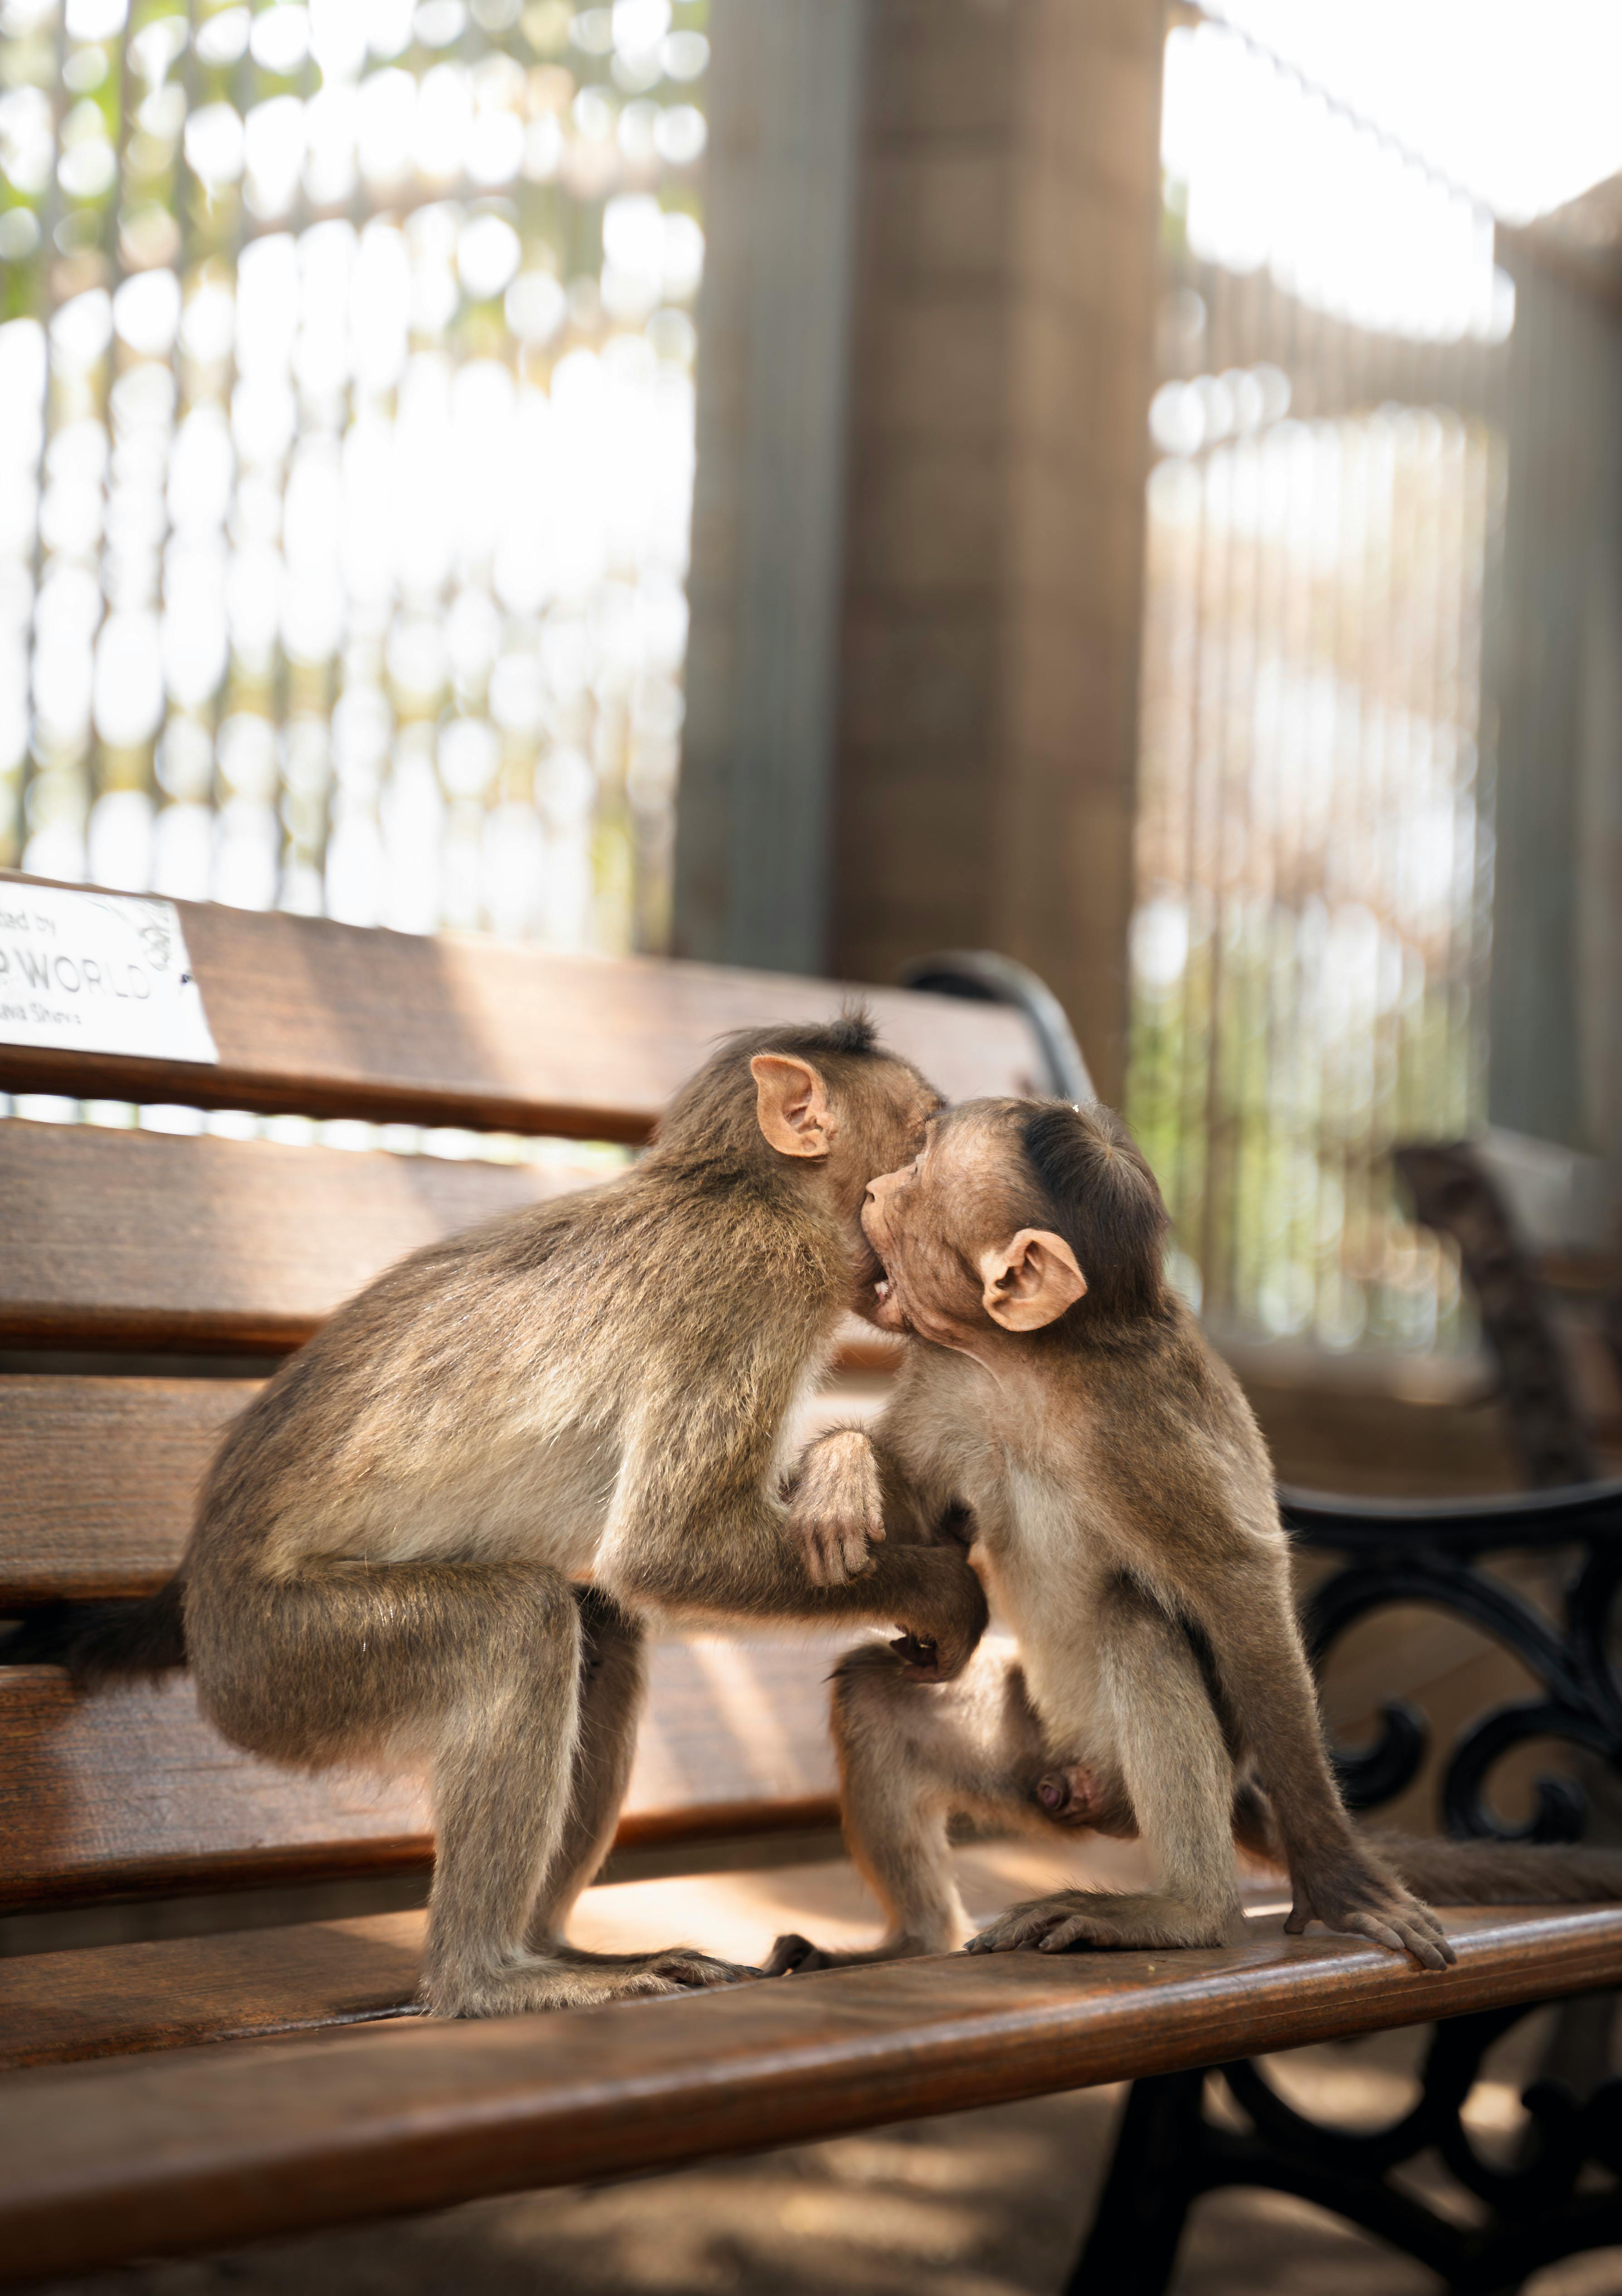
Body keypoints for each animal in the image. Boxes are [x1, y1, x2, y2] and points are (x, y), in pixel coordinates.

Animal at [5, 1017, 989, 2018]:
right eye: (921, 1139)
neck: (737, 1191)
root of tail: (200, 1596)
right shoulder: (750, 1283)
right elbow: (666, 1551)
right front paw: (938, 1587)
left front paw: (843, 1464)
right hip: (284, 1660)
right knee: (519, 1621)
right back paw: (488, 1976)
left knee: (600, 1630)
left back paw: (549, 1944)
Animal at [766, 1097, 1622, 1980]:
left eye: (915, 1177)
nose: (874, 1191)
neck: (1029, 1367)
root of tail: (1080, 1784)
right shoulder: (951, 1385)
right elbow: (922, 1526)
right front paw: (842, 1467)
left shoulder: (1132, 1427)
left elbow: (1239, 1587)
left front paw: (1338, 1876)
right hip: (1028, 1753)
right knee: (874, 1694)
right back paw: (912, 1939)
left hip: (1130, 1768)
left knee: (1138, 1620)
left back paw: (1189, 1913)